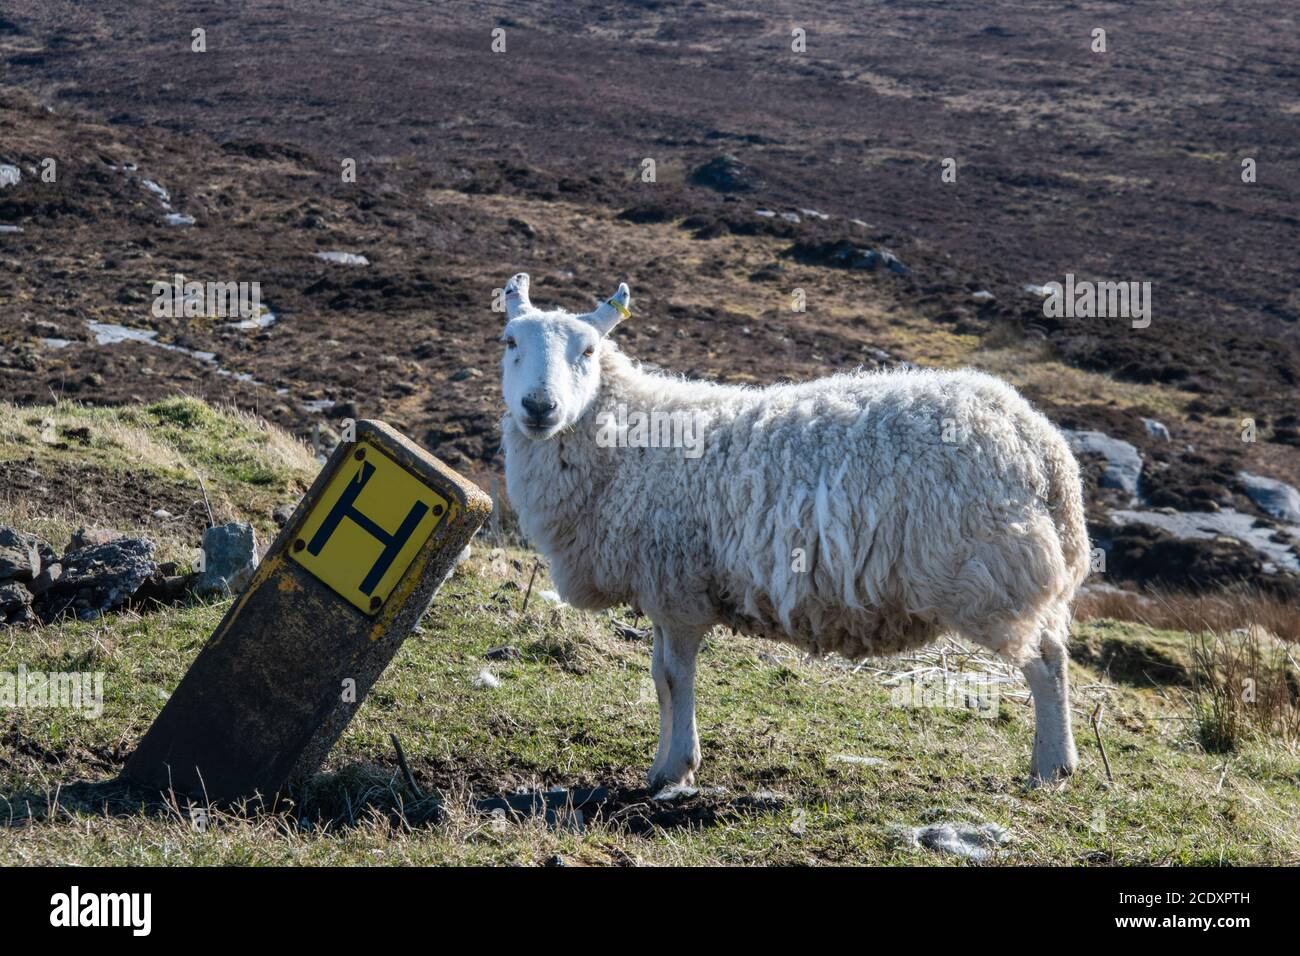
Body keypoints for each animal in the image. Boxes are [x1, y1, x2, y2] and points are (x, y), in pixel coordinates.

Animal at [499, 273, 1091, 791]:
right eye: (509, 342)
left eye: (588, 351)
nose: (539, 407)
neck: (627, 443)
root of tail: (1040, 442)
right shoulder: (662, 589)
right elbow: (659, 678)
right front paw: (664, 765)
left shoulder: (679, 589)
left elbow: (674, 678)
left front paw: (675, 767)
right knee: (1055, 652)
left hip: (992, 576)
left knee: (1045, 663)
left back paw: (1051, 768)